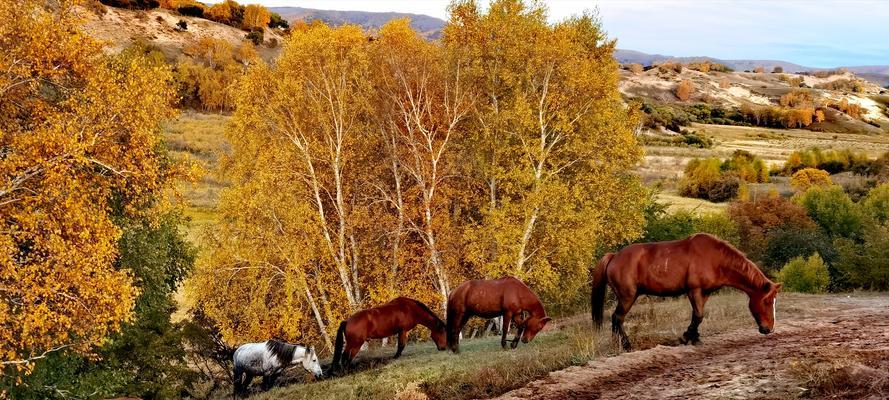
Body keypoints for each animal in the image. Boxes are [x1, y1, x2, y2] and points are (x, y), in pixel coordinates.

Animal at [592, 233, 780, 348]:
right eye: (767, 301)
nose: (769, 329)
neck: (715, 259)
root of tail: (614, 256)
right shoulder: (694, 291)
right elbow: (698, 315)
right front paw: (687, 337)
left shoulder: (704, 293)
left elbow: (697, 316)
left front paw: (694, 337)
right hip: (627, 297)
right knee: (617, 318)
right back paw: (626, 345)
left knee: (616, 320)